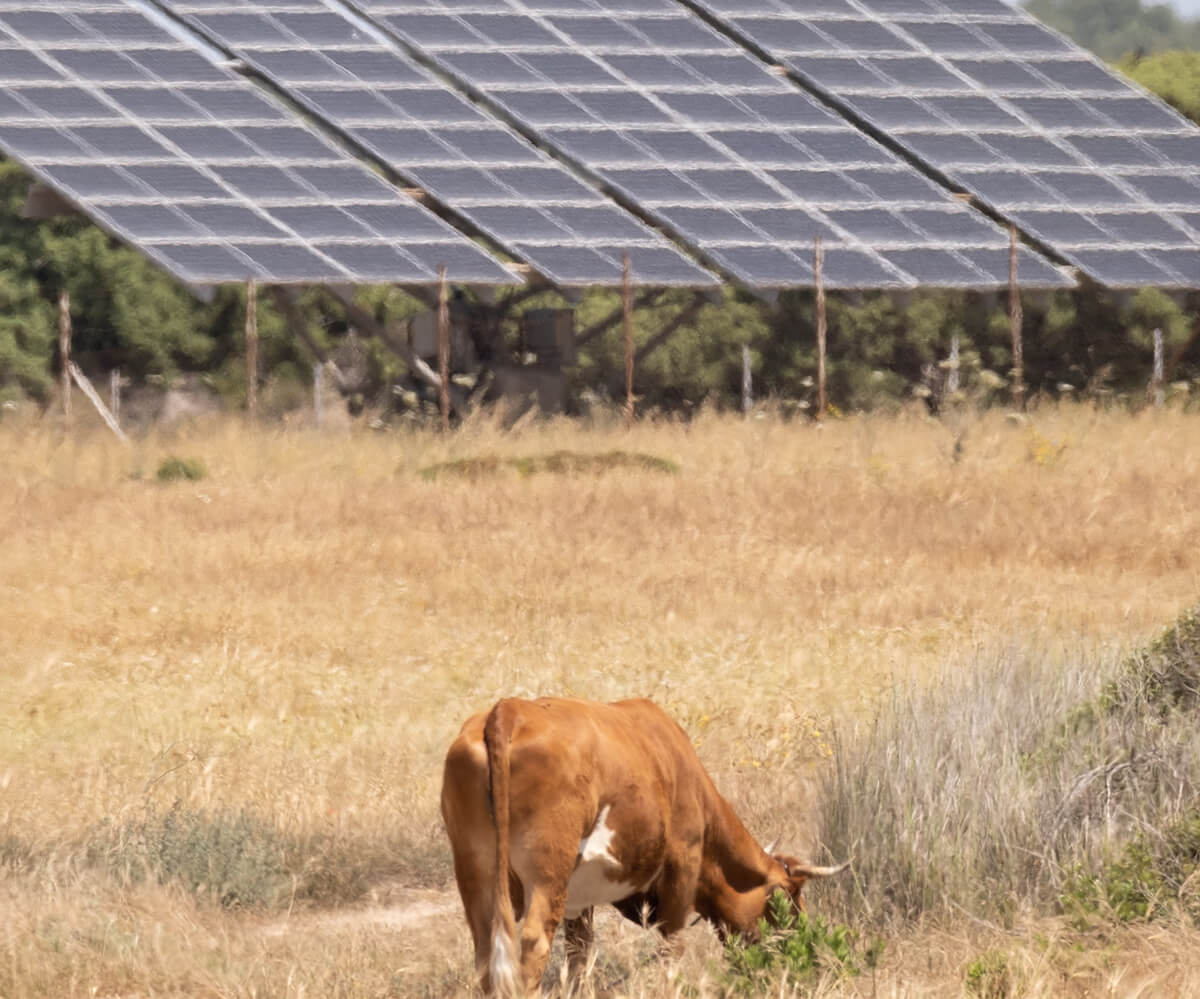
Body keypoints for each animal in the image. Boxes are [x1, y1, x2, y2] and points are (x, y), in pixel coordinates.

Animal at [439, 696, 844, 994]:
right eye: (787, 899)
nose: (799, 952)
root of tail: (508, 710)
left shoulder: (579, 899)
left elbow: (579, 956)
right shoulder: (683, 860)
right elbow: (671, 945)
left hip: (475, 868)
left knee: (485, 951)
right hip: (548, 870)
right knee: (533, 944)